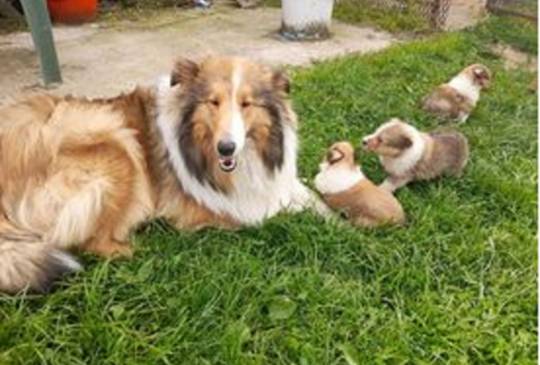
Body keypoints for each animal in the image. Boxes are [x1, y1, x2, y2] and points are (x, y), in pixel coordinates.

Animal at [0, 55, 330, 292]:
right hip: (112, 139)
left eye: (247, 104)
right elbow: (271, 212)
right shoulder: (224, 209)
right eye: (213, 102)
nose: (226, 148)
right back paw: (140, 250)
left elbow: (312, 197)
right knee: (91, 243)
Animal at [312, 64, 490, 226]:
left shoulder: (400, 177)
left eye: (381, 140)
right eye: (375, 132)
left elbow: (387, 184)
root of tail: (463, 138)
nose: (363, 141)